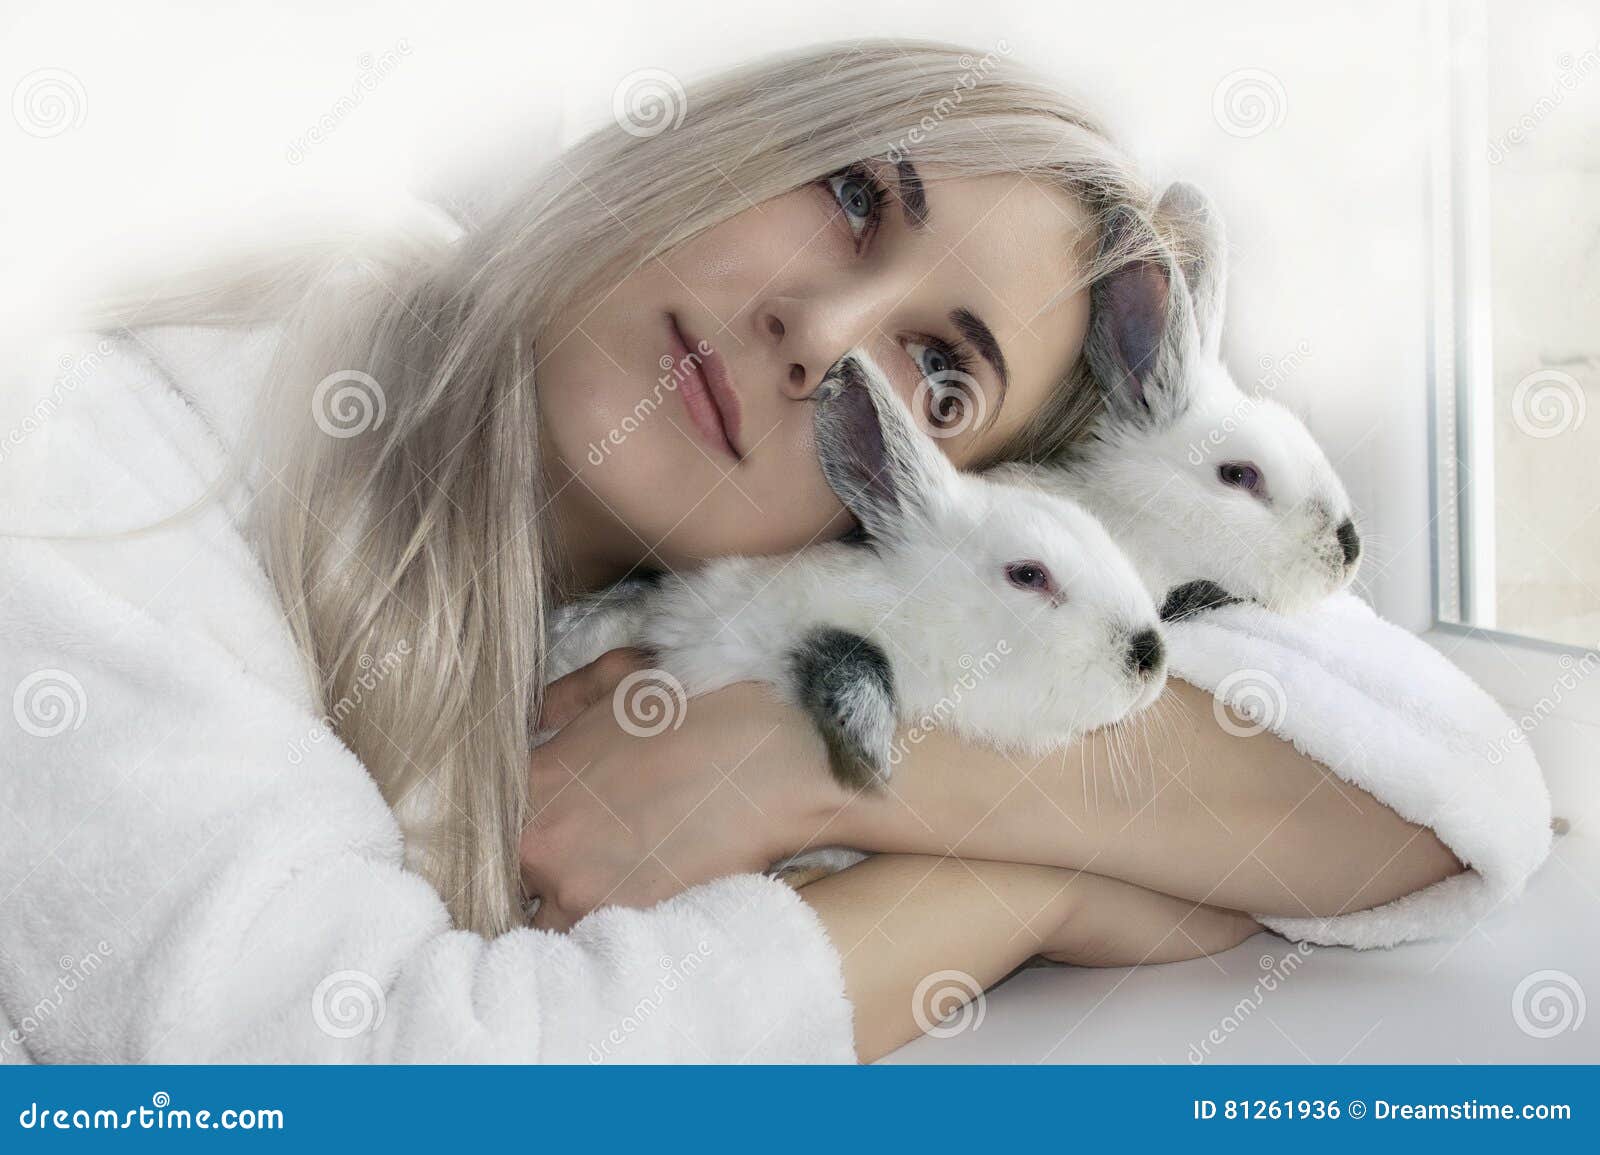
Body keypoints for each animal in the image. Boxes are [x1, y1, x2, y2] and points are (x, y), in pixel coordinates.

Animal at [545, 350, 1169, 874]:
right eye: (1029, 575)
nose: (1151, 656)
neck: (916, 624)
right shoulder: (741, 638)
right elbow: (845, 653)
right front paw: (867, 754)